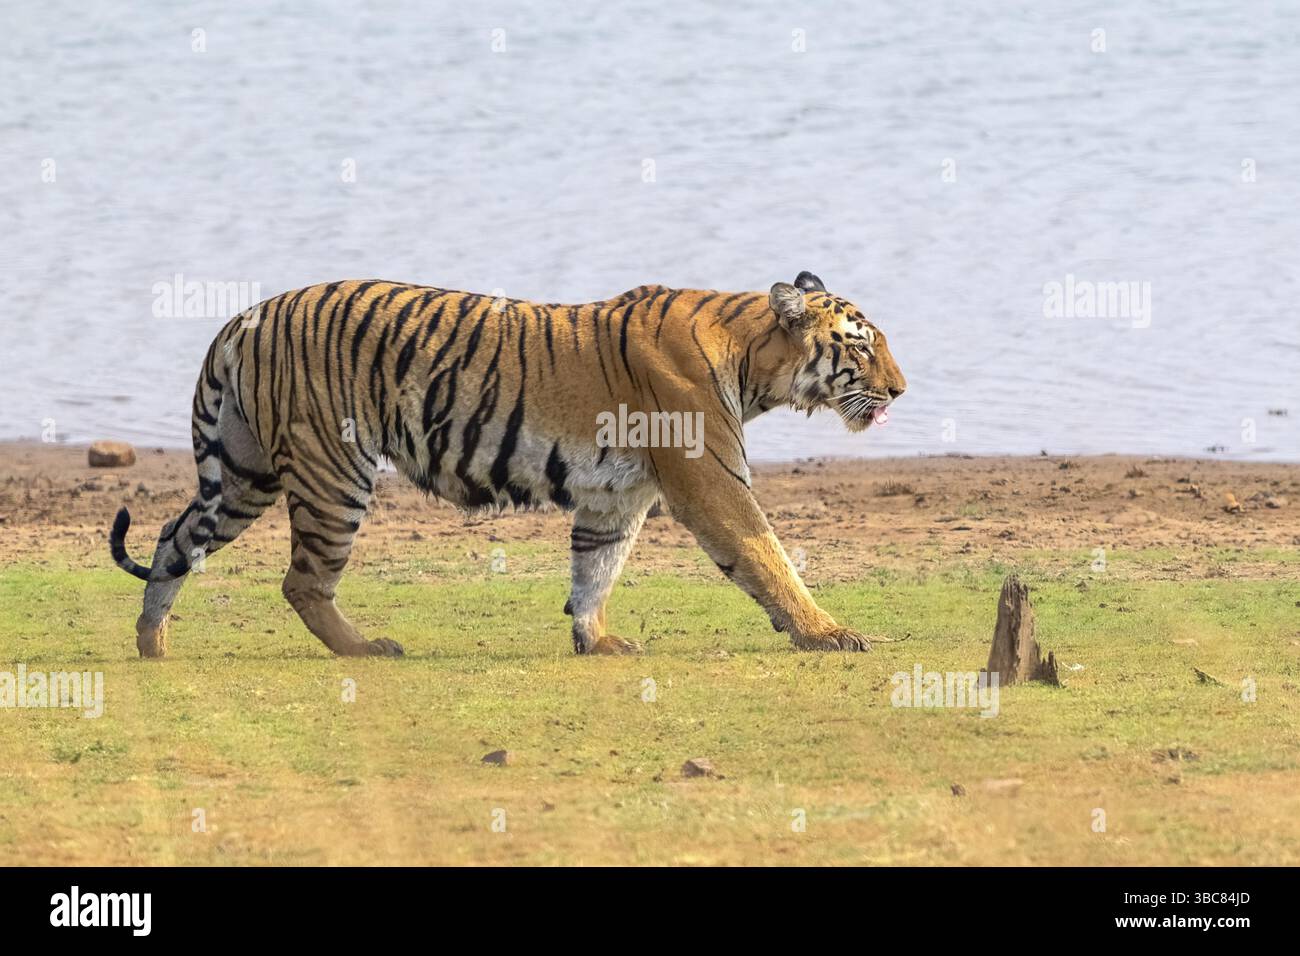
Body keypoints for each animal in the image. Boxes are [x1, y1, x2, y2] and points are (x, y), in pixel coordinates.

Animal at [109, 270, 906, 658]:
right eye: (861, 344)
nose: (900, 390)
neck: (752, 359)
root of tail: (243, 317)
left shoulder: (616, 497)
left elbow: (594, 569)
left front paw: (596, 641)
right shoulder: (710, 479)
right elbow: (767, 556)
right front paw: (826, 634)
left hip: (246, 473)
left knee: (174, 540)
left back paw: (153, 644)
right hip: (331, 472)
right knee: (301, 581)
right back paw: (365, 649)